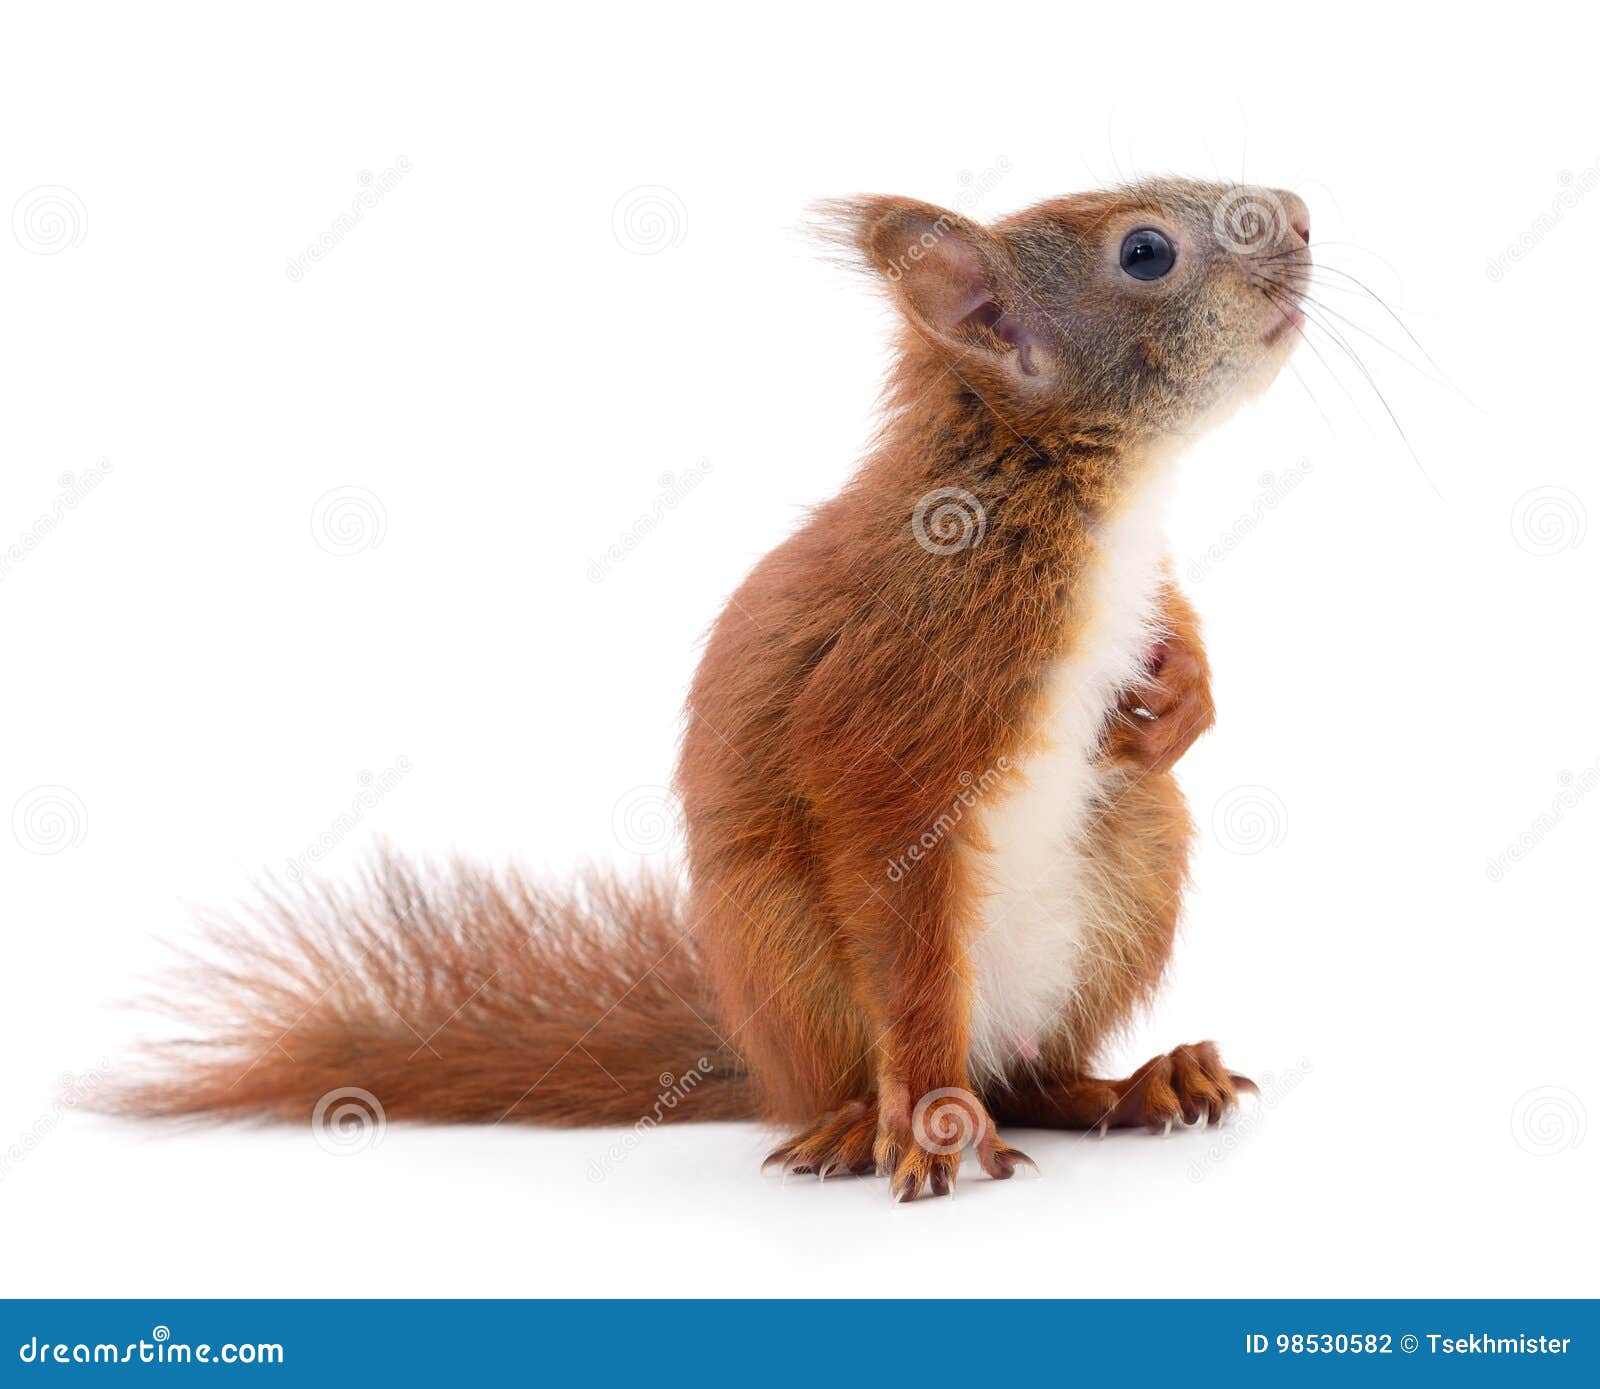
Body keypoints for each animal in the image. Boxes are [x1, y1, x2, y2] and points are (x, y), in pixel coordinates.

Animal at [109, 178, 1311, 1201]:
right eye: (1145, 252)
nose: (1300, 215)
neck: (1077, 495)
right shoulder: (907, 672)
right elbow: (886, 843)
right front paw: (928, 1117)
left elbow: (1174, 628)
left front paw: (1186, 700)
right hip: (791, 956)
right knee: (906, 1067)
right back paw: (869, 1124)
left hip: (1135, 855)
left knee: (1041, 1080)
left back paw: (1138, 1084)